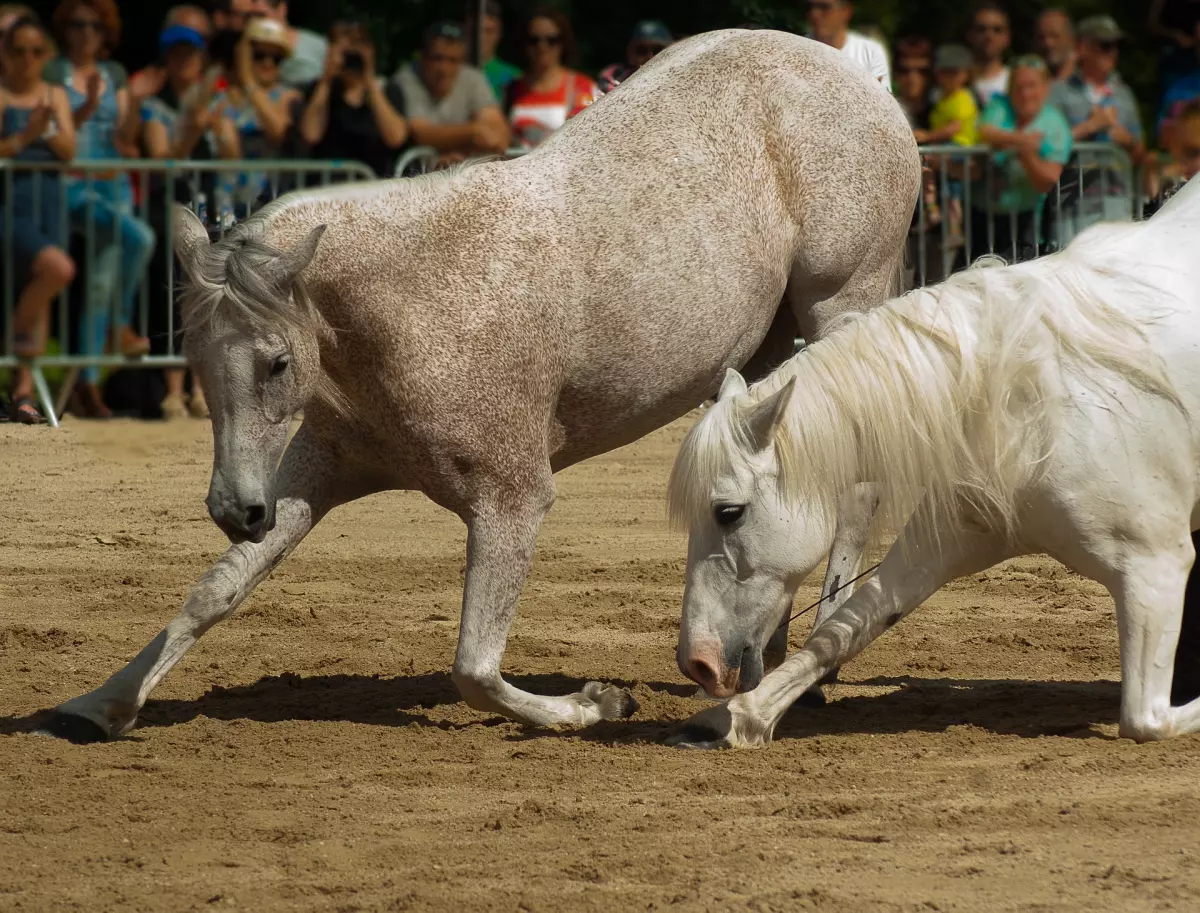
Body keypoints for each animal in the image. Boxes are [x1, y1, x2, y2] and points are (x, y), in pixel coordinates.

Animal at [40, 28, 919, 743]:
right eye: (192, 356)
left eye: (277, 362)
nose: (234, 508)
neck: (419, 304)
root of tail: (862, 83)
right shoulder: (319, 468)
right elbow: (214, 592)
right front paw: (101, 704)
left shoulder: (513, 500)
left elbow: (474, 666)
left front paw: (595, 704)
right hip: (768, 356)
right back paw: (762, 652)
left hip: (840, 304)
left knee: (856, 486)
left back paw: (812, 664)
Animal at [665, 175, 1200, 749]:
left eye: (728, 512)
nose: (696, 662)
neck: (1021, 401)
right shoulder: (951, 542)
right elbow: (844, 629)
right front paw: (733, 720)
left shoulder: (1155, 568)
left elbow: (1146, 719)